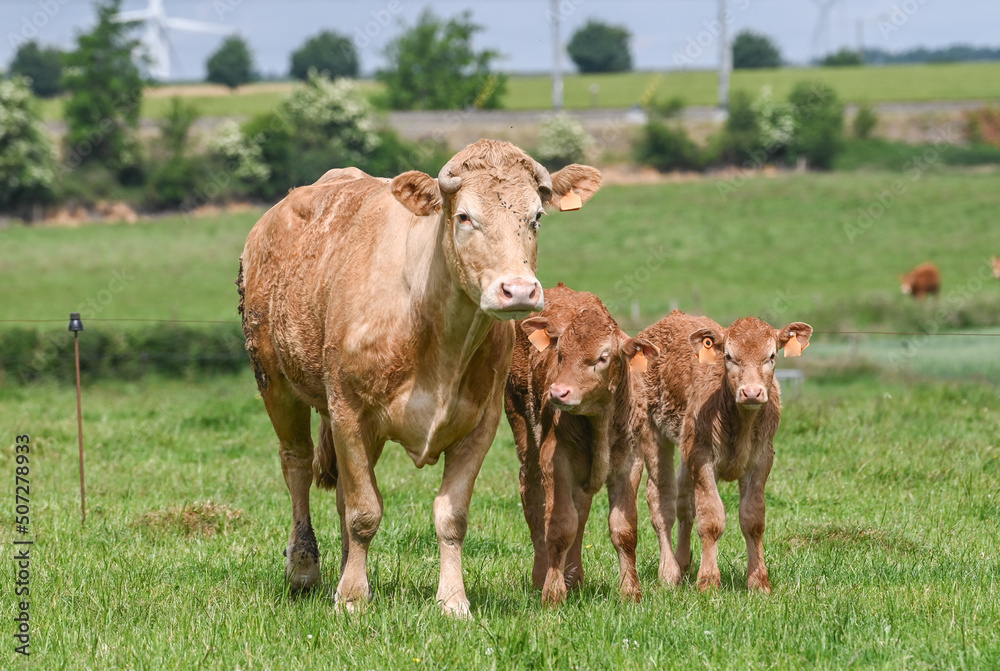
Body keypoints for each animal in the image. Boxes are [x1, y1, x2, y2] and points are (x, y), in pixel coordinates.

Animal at [237, 139, 602, 616]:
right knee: (296, 464)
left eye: (536, 216)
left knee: (341, 493)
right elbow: (365, 513)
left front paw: (452, 600)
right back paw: (303, 568)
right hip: (276, 382)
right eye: (464, 216)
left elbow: (449, 516)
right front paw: (353, 599)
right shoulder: (349, 409)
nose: (519, 290)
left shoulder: (480, 423)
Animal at [504, 284, 659, 605]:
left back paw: (574, 577)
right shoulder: (555, 459)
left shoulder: (630, 463)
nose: (558, 392)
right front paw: (553, 593)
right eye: (560, 354)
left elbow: (624, 530)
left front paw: (631, 593)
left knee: (581, 511)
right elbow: (561, 526)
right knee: (533, 498)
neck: (600, 424)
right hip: (522, 428)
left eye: (602, 357)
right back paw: (542, 577)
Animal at [639, 311, 812, 593]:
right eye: (729, 356)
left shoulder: (761, 458)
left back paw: (683, 563)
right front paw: (708, 581)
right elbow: (711, 519)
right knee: (661, 502)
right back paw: (669, 573)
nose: (751, 392)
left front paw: (759, 581)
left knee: (684, 503)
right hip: (652, 433)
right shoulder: (701, 457)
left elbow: (753, 519)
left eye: (772, 355)